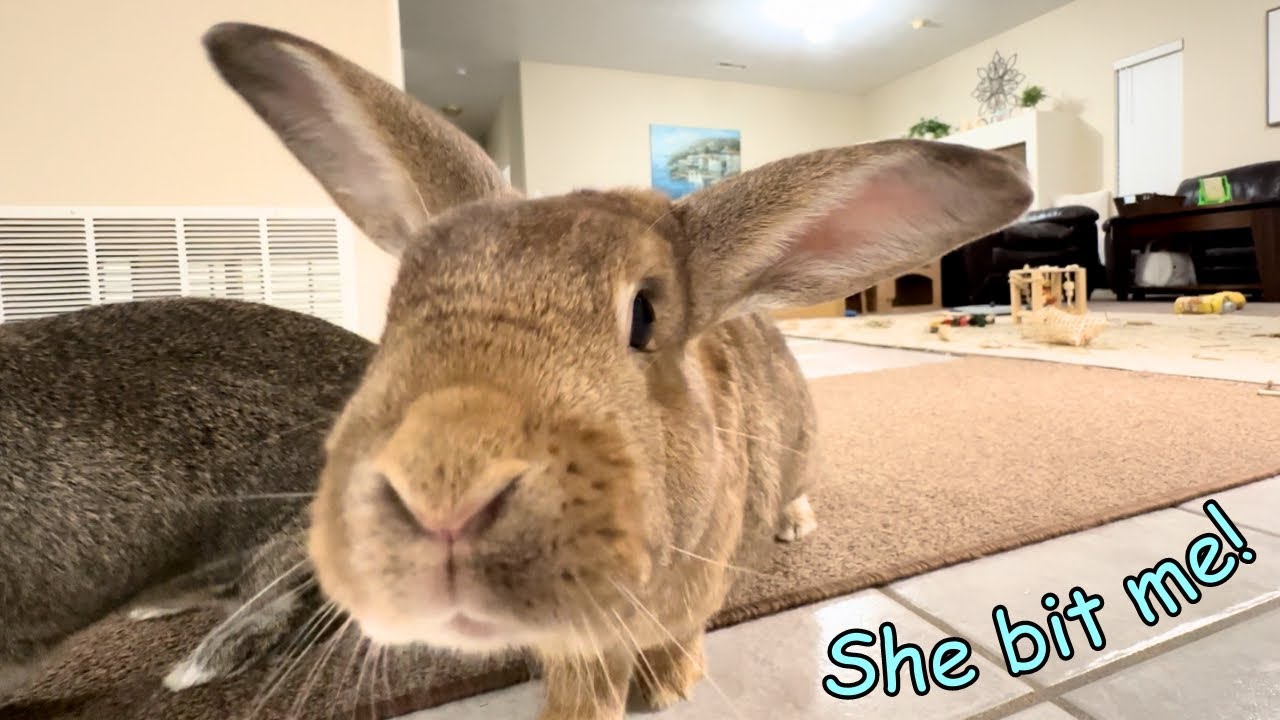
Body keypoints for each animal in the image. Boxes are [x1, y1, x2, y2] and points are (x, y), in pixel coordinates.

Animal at [199, 21, 1031, 719]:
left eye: (645, 317)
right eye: (396, 305)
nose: (443, 500)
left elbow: (673, 641)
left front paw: (666, 688)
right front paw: (576, 710)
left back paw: (792, 525)